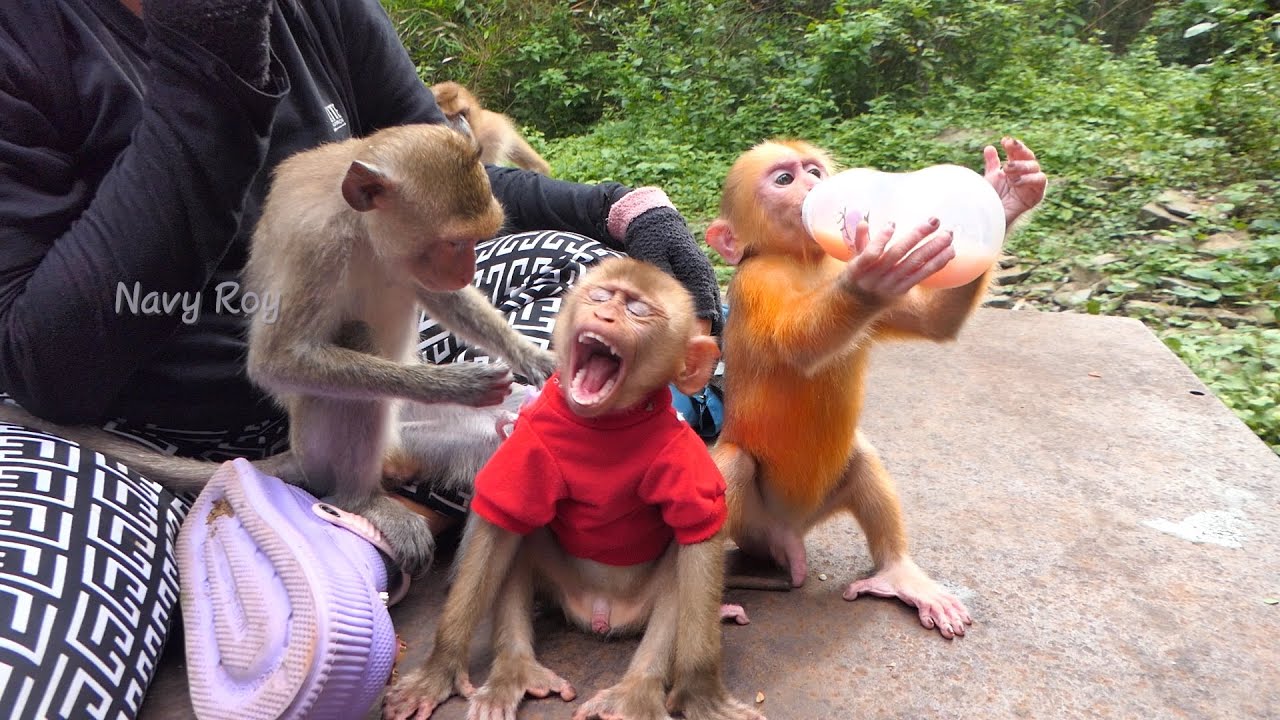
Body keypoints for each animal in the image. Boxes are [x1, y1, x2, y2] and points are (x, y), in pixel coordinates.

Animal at [0, 123, 559, 574]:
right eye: (452, 243)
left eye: (474, 242)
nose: (466, 268)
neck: (362, 229)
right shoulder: (318, 247)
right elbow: (276, 362)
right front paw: (456, 384)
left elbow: (441, 298)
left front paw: (532, 357)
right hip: (320, 443)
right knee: (353, 343)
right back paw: (362, 499)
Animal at [382, 257, 764, 720]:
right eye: (600, 297)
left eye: (638, 310)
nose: (605, 316)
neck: (602, 425)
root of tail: (602, 616)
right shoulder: (530, 438)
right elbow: (502, 517)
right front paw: (441, 666)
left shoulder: (682, 453)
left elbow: (699, 534)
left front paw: (700, 691)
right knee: (522, 534)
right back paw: (513, 670)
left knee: (681, 567)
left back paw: (637, 691)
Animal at [704, 136, 1046, 639]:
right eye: (784, 179)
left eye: (813, 170)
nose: (813, 186)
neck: (805, 261)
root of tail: (789, 535)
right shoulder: (754, 284)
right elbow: (798, 345)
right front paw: (871, 278)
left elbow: (934, 323)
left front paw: (1008, 194)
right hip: (754, 524)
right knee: (734, 464)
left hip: (819, 506)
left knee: (862, 457)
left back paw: (899, 574)